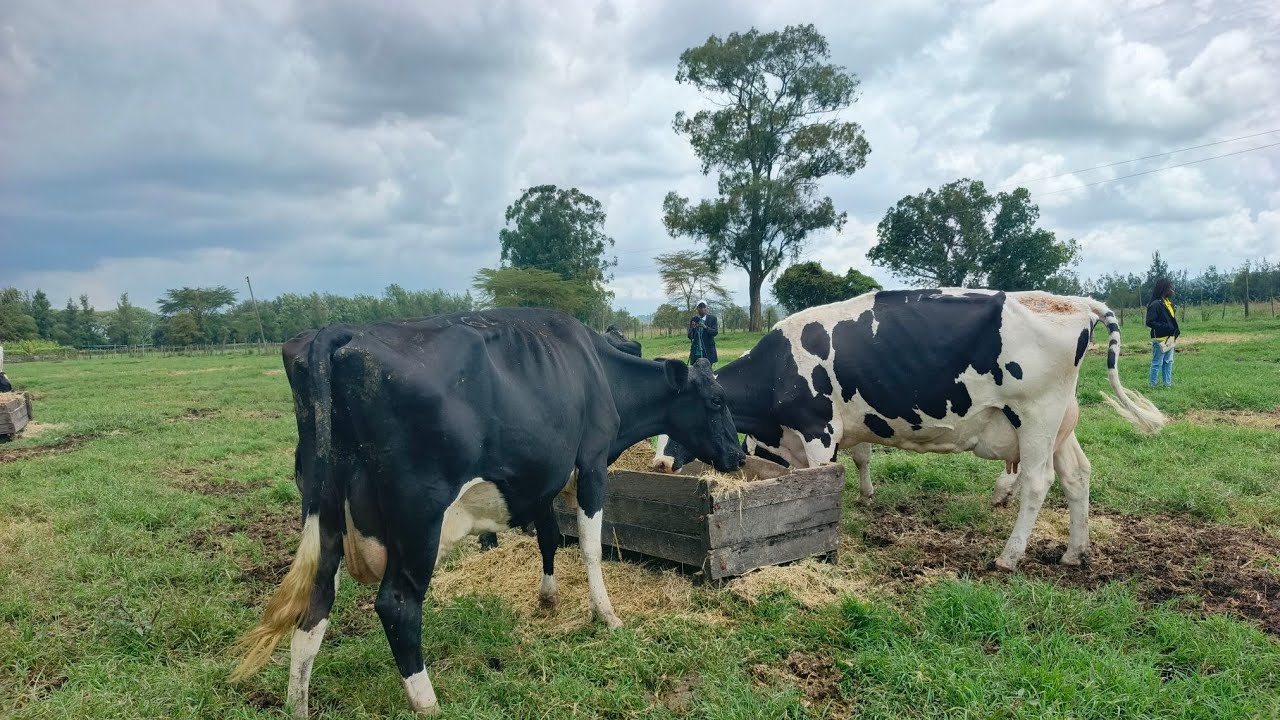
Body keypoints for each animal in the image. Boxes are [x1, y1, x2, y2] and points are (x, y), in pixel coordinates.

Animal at [232, 308, 744, 717]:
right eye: (717, 401)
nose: (739, 456)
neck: (599, 371)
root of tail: (339, 333)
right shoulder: (592, 463)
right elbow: (591, 547)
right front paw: (607, 615)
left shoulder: (541, 478)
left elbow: (549, 537)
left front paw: (548, 598)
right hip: (418, 515)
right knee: (397, 604)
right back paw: (428, 703)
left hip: (324, 515)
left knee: (314, 606)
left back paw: (298, 705)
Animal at [651, 289, 1165, 572]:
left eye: (679, 422)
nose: (657, 462)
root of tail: (1074, 302)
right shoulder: (848, 427)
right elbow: (860, 457)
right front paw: (866, 495)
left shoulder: (819, 430)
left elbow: (820, 482)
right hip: (1062, 421)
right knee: (1078, 476)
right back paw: (1076, 552)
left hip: (1037, 415)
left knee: (1038, 482)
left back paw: (1010, 555)